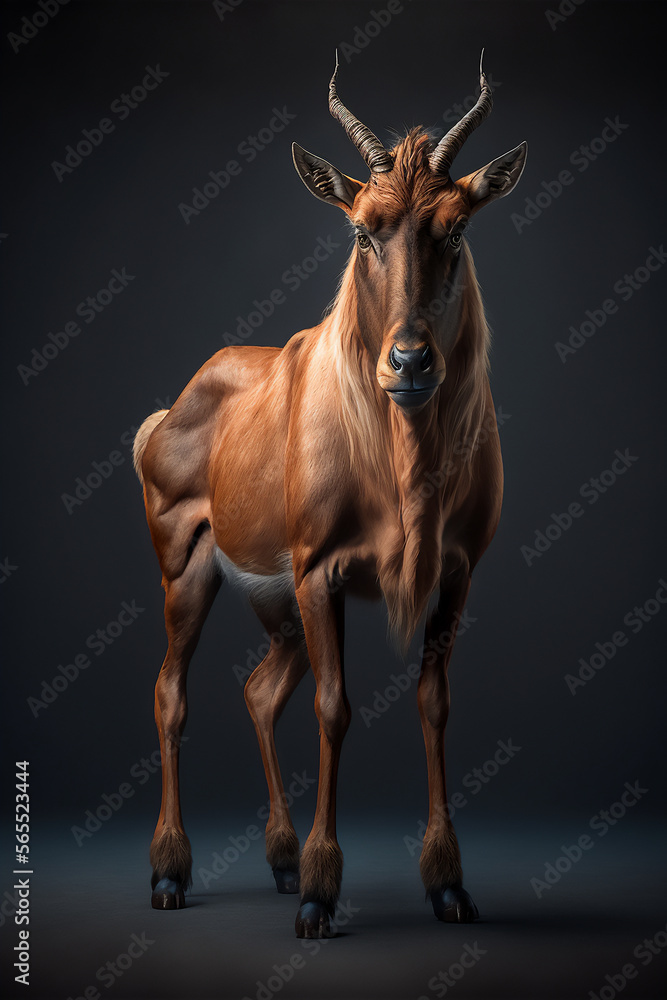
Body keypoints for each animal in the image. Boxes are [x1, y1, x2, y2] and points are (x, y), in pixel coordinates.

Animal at [133, 55, 527, 937]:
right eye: (361, 229)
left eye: (456, 227)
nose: (409, 364)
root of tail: (171, 412)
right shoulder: (323, 575)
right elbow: (334, 707)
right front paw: (320, 894)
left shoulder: (455, 576)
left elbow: (432, 703)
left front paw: (448, 886)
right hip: (188, 571)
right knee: (172, 692)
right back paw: (171, 874)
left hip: (272, 605)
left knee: (258, 690)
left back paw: (278, 861)